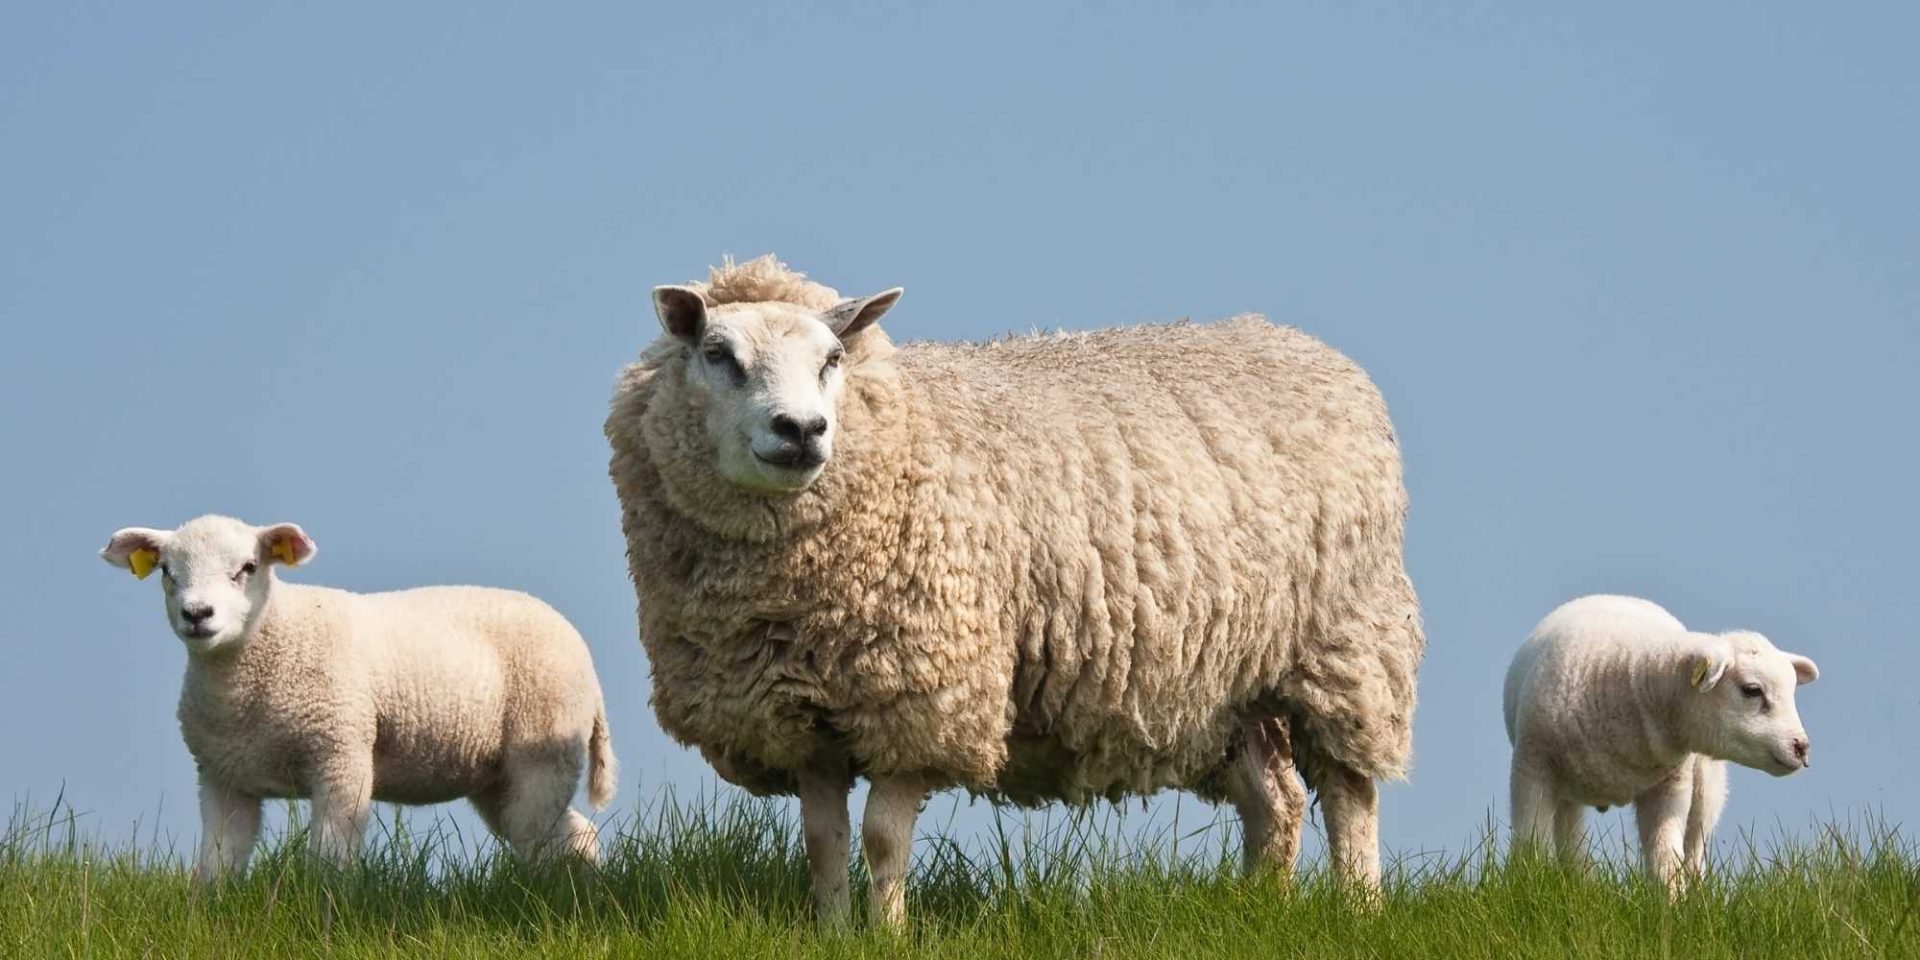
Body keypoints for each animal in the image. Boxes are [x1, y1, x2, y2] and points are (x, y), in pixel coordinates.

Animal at [100, 514, 617, 881]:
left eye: (247, 568)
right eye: (167, 572)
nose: (197, 614)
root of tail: (589, 664)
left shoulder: (341, 752)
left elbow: (329, 854)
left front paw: (323, 909)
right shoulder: (223, 777)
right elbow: (219, 862)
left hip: (543, 746)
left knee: (539, 833)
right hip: (497, 775)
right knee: (569, 836)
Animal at [604, 256, 1424, 924]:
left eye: (833, 358)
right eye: (719, 355)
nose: (802, 430)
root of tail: (1298, 344)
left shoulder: (923, 695)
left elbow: (881, 839)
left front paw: (889, 934)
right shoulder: (802, 712)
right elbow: (823, 841)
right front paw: (833, 932)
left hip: (1344, 646)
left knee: (1350, 792)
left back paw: (1357, 909)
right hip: (1226, 678)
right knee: (1274, 800)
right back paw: (1261, 908)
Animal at [1503, 594, 1819, 893]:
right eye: (1752, 690)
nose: (1801, 747)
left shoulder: (1672, 785)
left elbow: (1665, 860)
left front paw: (1671, 907)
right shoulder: (1531, 768)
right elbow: (1531, 845)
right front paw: (1531, 890)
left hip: (1705, 784)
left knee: (1694, 850)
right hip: (1566, 786)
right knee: (1571, 839)